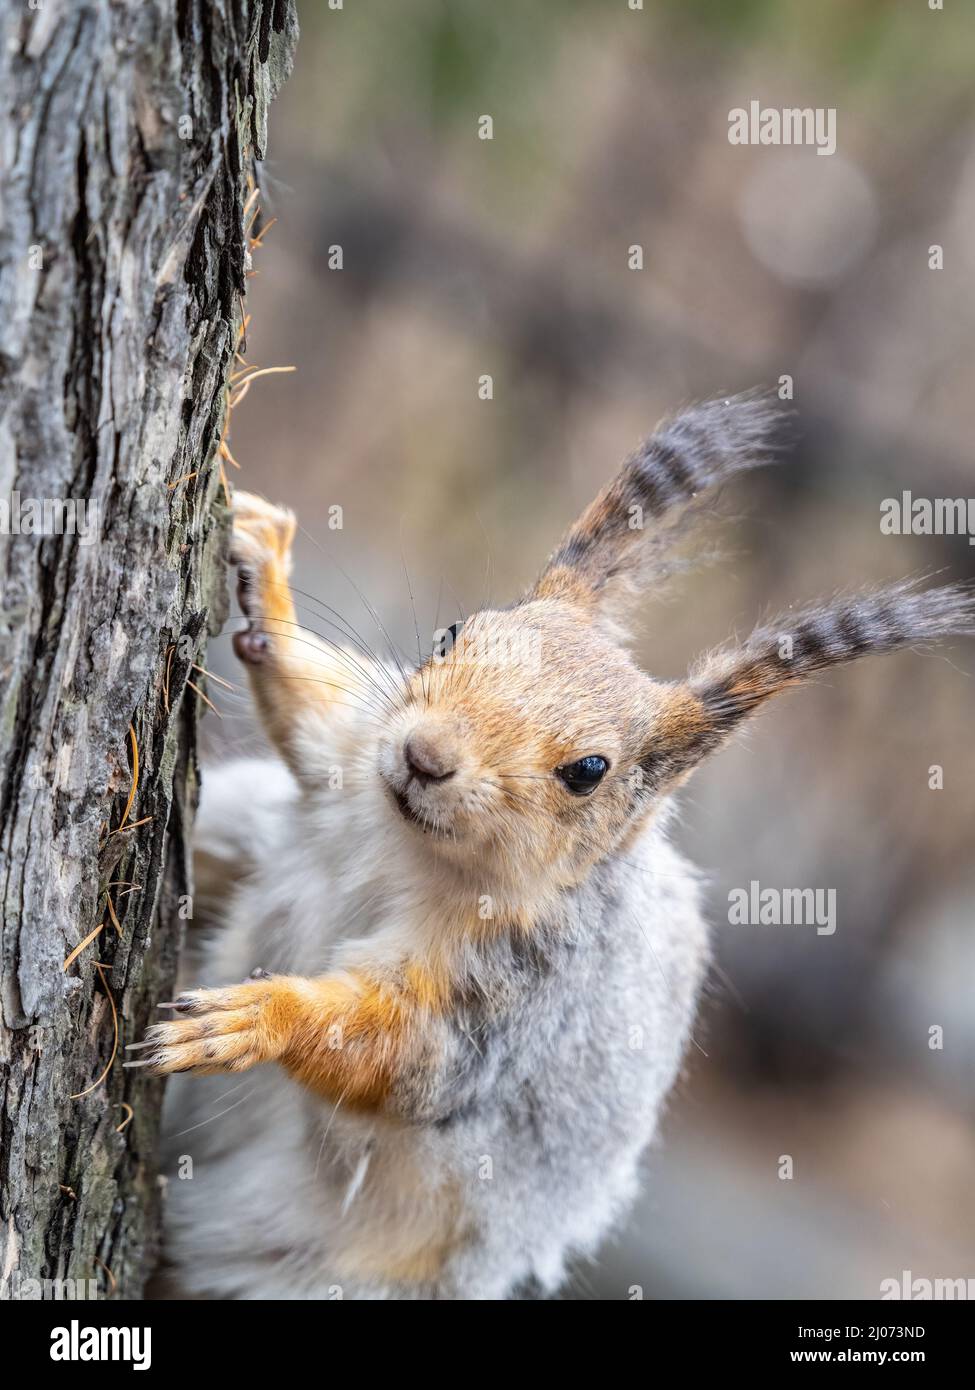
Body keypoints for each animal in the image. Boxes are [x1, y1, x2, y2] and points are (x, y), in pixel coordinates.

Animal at [131, 393, 974, 1300]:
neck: (410, 847)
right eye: (451, 634)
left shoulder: (518, 989)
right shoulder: (354, 749)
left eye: (588, 771)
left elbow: (408, 1060)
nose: (422, 756)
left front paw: (253, 1020)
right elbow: (312, 716)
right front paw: (267, 577)